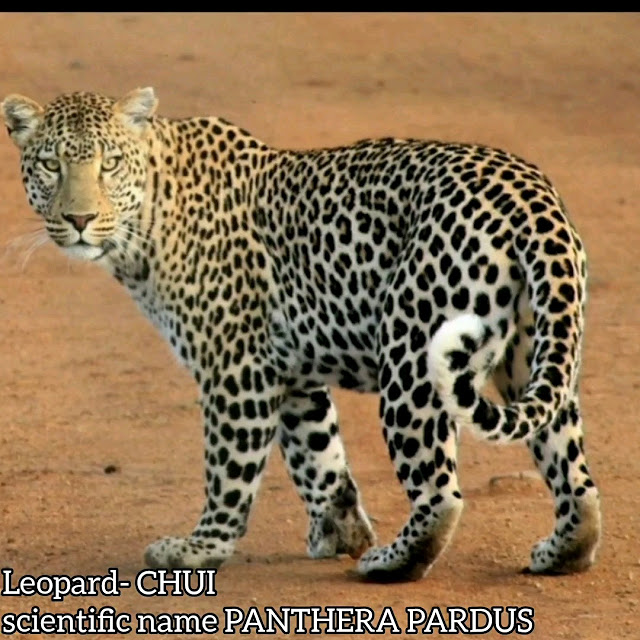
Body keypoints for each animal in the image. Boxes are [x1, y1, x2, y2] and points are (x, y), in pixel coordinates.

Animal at [1, 87, 601, 582]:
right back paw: (562, 552)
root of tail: (530, 196)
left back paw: (390, 563)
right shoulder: (290, 372)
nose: (79, 220)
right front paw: (339, 531)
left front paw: (201, 548)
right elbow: (319, 457)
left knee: (440, 494)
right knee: (574, 474)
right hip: (534, 353)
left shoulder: (236, 368)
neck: (148, 219)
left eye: (109, 165)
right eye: (51, 165)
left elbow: (229, 469)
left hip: (412, 356)